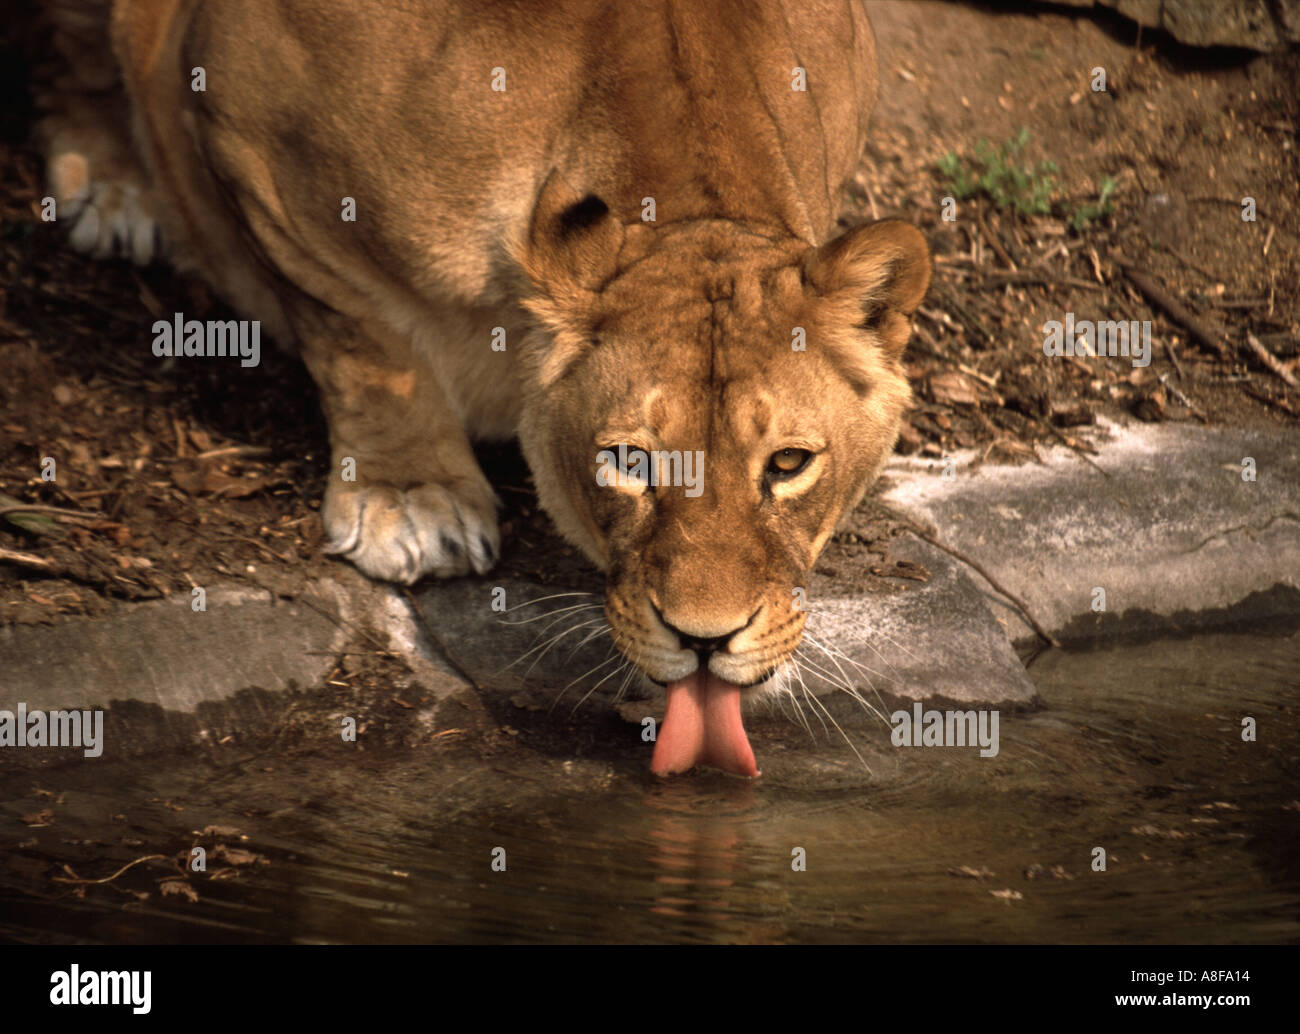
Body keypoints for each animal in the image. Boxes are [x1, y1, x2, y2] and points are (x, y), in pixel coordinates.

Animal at [38, 0, 931, 776]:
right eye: (628, 461)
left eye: (787, 465)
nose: (706, 641)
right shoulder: (253, 123)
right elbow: (363, 336)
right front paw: (411, 501)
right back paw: (114, 192)